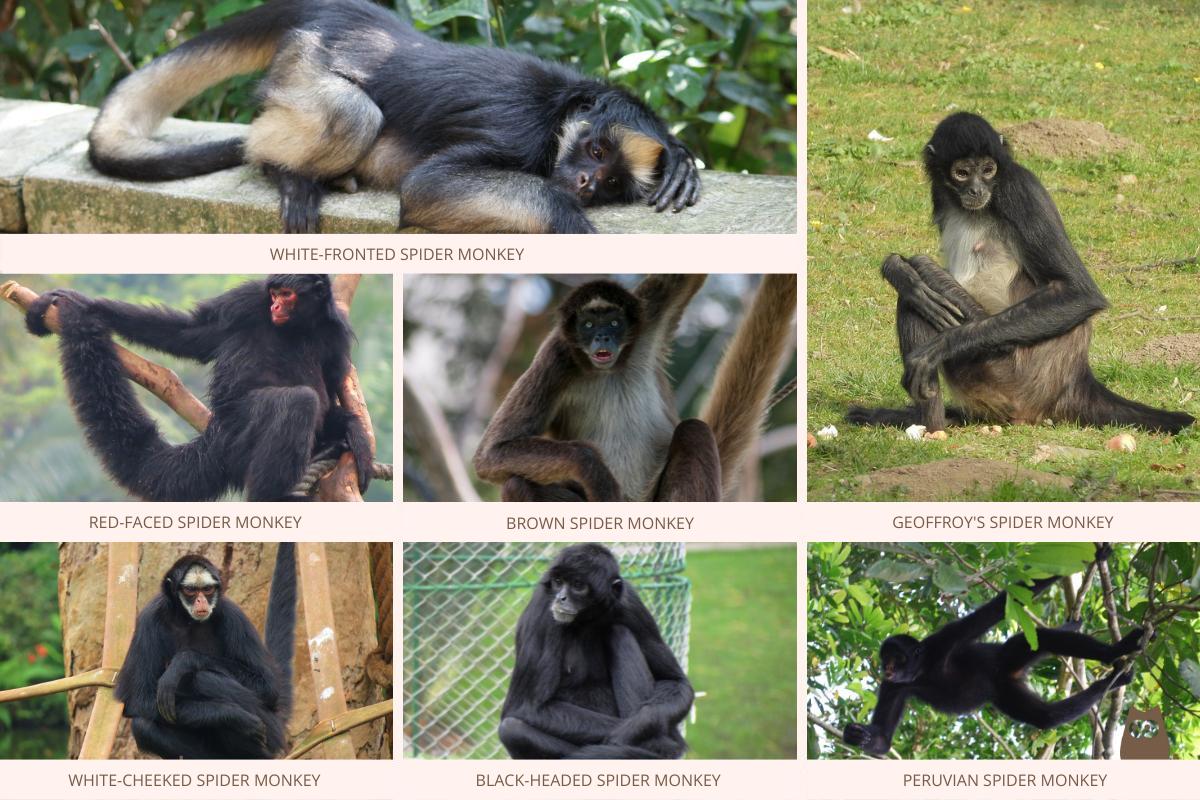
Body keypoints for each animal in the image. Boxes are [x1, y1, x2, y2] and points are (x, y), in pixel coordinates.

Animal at [86, 0, 700, 234]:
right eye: (595, 151)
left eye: (612, 181)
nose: (586, 182)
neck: (557, 114)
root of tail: (341, 11)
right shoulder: (522, 128)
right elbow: (426, 188)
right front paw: (569, 220)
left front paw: (679, 162)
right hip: (303, 61)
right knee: (352, 113)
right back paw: (284, 171)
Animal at [473, 274, 798, 501]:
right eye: (588, 325)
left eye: (614, 323)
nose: (603, 337)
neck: (609, 369)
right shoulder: (556, 357)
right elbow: (491, 454)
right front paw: (596, 474)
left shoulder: (652, 310)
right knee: (516, 486)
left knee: (693, 430)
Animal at [847, 112, 1194, 433]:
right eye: (962, 173)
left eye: (988, 170)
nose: (976, 190)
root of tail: (1075, 379)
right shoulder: (941, 192)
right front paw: (895, 268)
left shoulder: (1018, 187)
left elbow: (1079, 293)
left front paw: (940, 344)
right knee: (918, 295)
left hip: (1004, 373)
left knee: (920, 295)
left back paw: (928, 425)